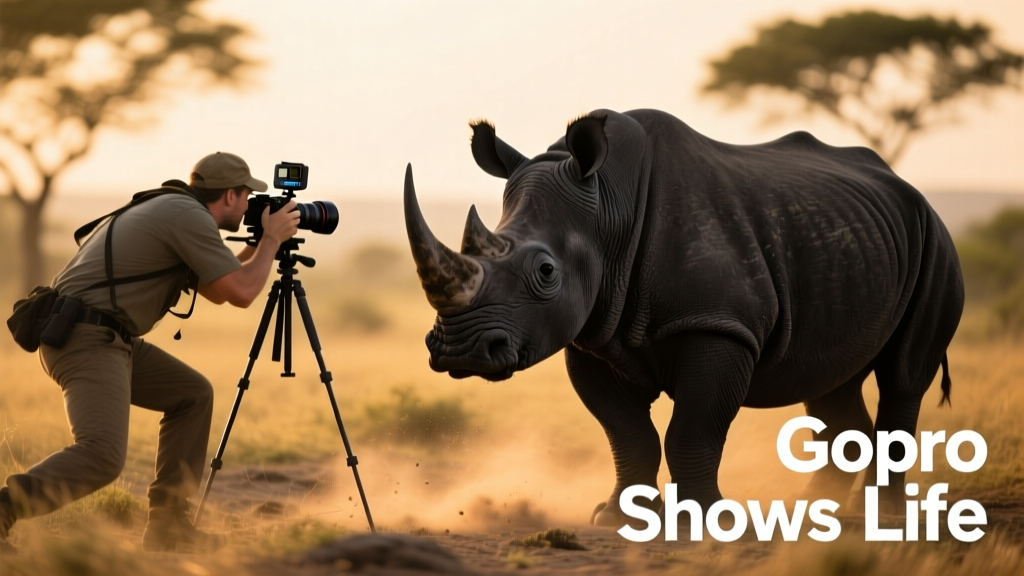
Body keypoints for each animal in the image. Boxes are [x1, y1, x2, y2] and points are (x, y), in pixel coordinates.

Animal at [403, 108, 963, 526]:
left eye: (545, 271)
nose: (461, 351)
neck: (608, 210)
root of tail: (909, 189)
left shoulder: (716, 324)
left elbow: (693, 428)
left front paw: (706, 525)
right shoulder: (592, 335)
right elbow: (627, 433)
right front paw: (619, 519)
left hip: (936, 242)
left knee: (902, 377)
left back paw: (882, 520)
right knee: (829, 384)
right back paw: (817, 514)